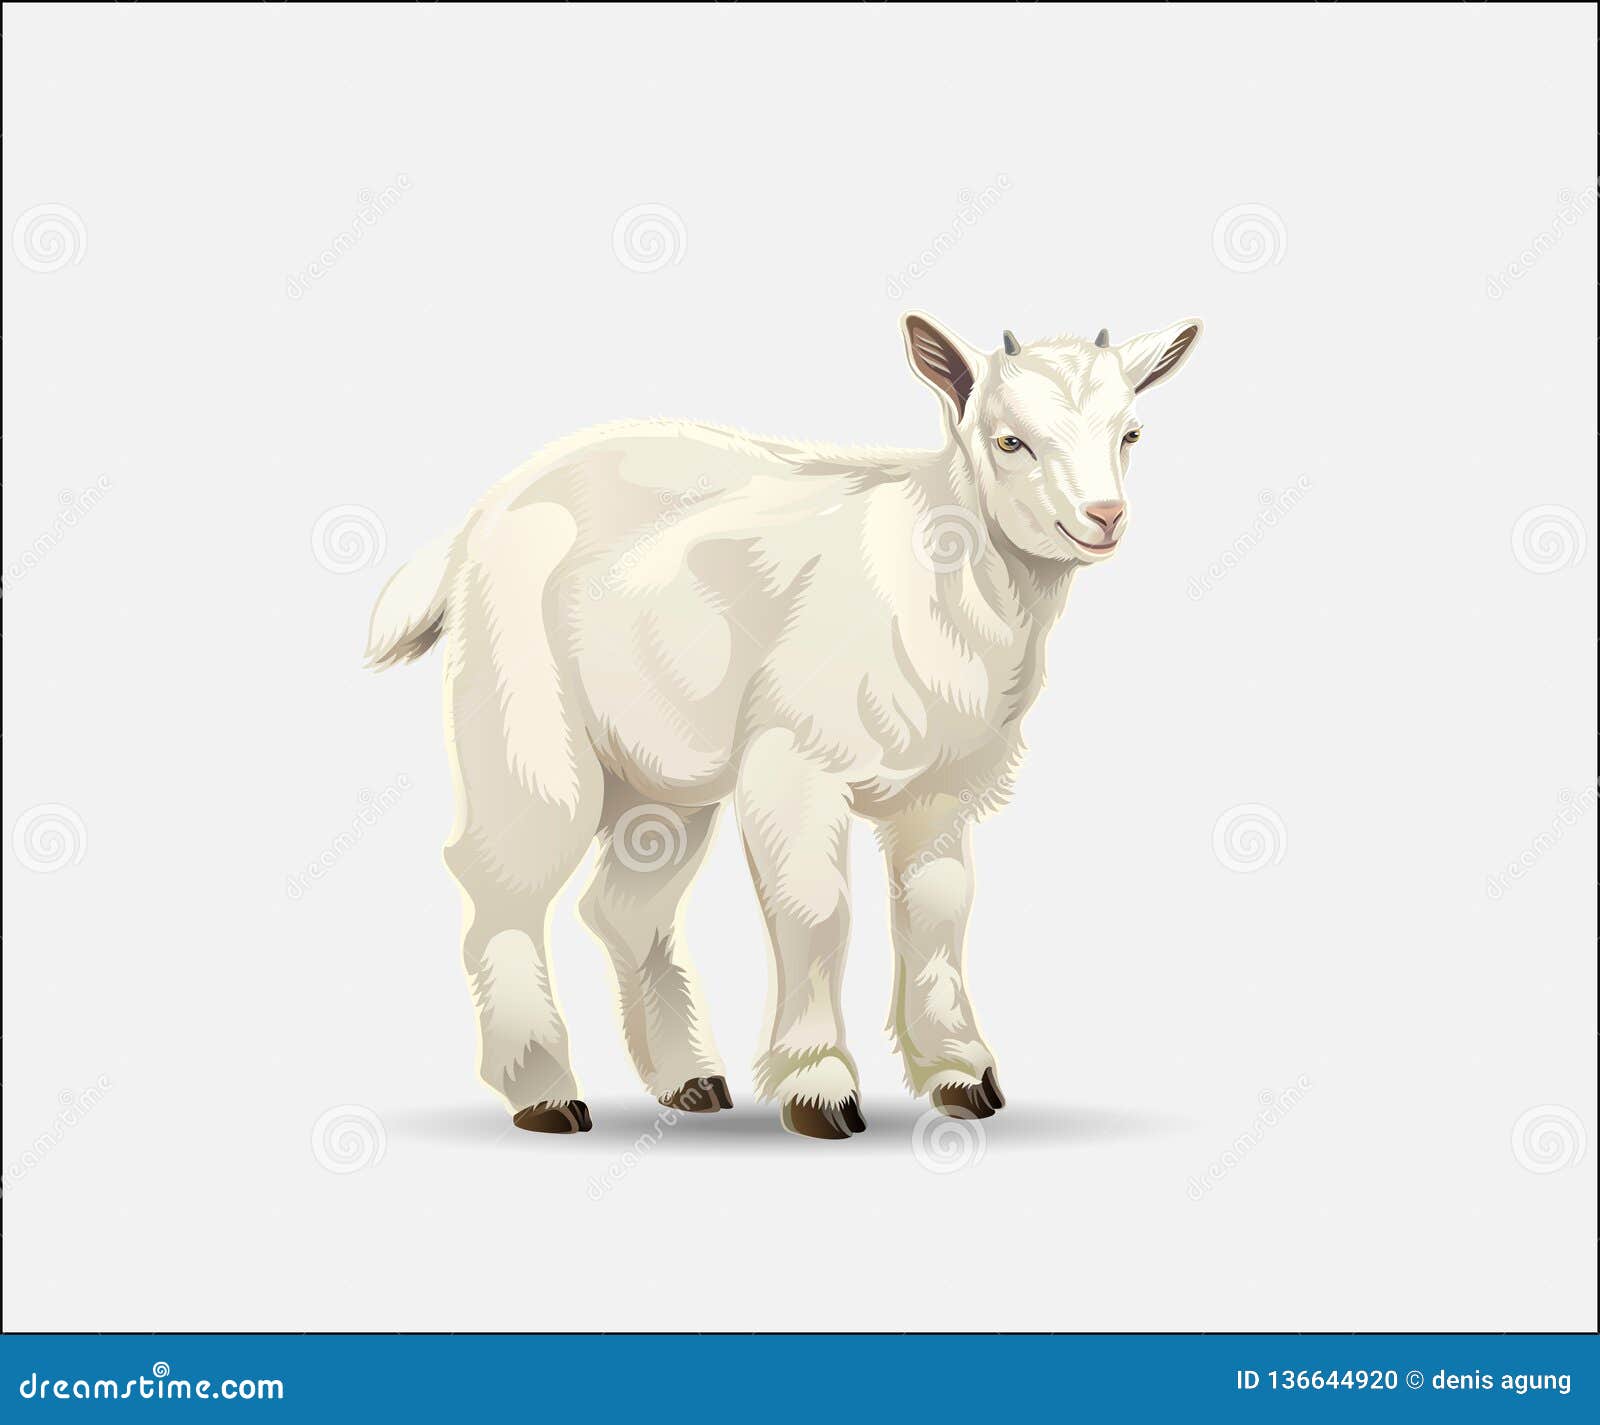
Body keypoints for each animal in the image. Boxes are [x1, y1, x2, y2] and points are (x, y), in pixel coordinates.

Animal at [367, 311, 1201, 1138]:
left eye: (1131, 432)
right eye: (1009, 441)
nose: (1104, 517)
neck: (940, 569)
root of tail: (477, 521)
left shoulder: (939, 788)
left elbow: (938, 913)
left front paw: (962, 1075)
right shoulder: (795, 757)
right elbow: (816, 910)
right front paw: (819, 1087)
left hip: (662, 765)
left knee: (625, 904)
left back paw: (690, 1080)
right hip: (522, 714)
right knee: (502, 884)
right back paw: (543, 1091)